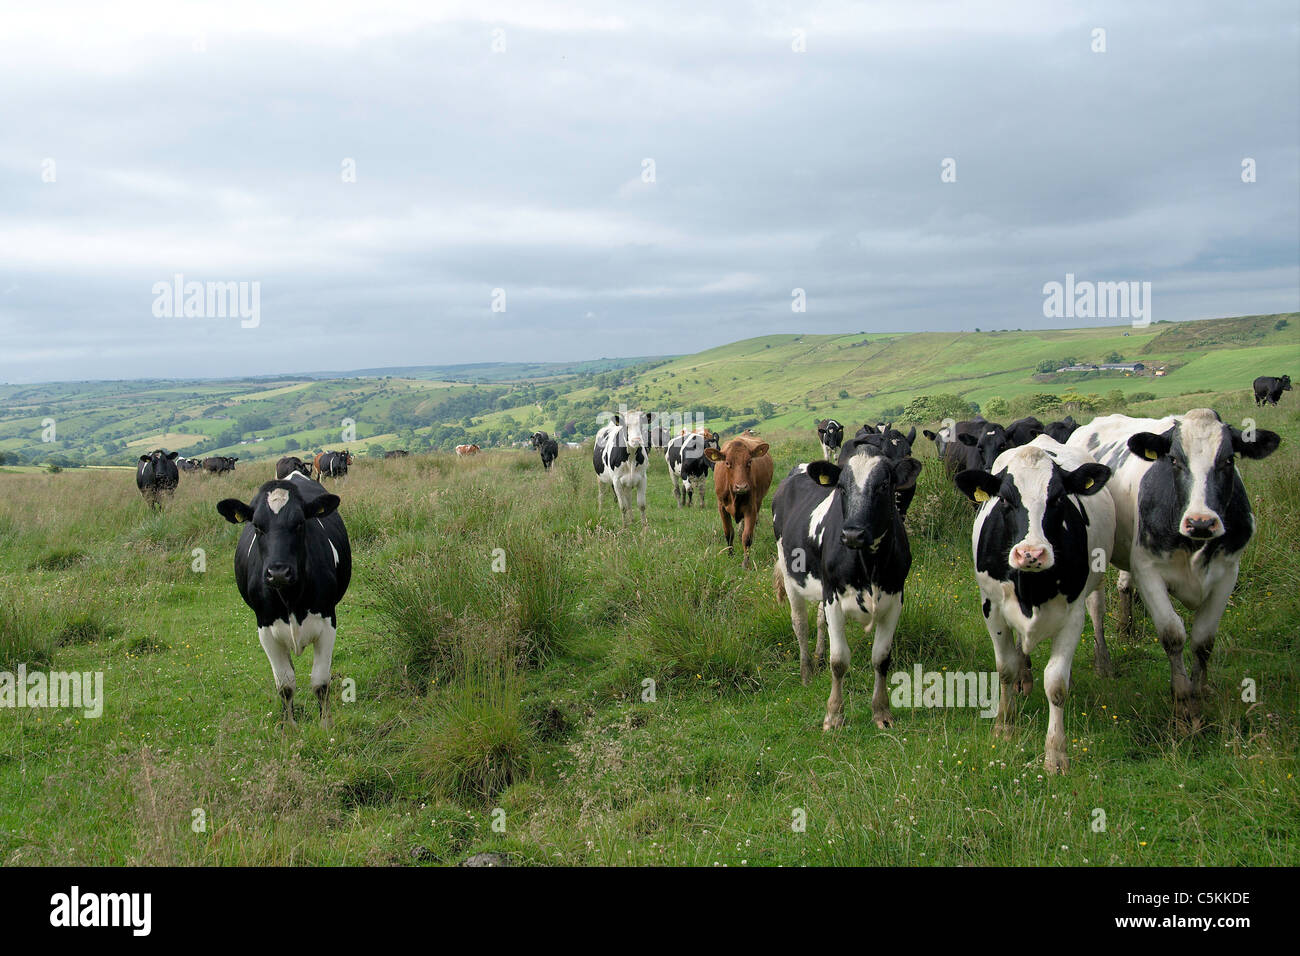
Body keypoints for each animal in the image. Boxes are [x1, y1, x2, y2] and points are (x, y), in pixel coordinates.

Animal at [217, 470, 351, 727]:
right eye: (257, 526)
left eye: (299, 523)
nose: (278, 572)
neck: (291, 600)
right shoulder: (265, 629)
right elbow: (285, 684)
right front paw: (289, 727)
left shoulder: (328, 621)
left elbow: (320, 681)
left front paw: (325, 726)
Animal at [705, 434, 774, 568]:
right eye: (727, 463)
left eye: (749, 462)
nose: (741, 487)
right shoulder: (721, 507)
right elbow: (728, 533)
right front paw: (730, 555)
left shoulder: (751, 508)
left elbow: (747, 537)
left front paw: (745, 563)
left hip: (758, 502)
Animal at [772, 444, 921, 729]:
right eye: (841, 487)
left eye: (883, 485)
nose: (853, 533)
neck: (868, 563)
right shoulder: (834, 597)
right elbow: (839, 660)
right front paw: (833, 715)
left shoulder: (896, 598)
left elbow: (881, 658)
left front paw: (881, 712)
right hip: (789, 572)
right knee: (800, 623)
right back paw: (807, 672)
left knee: (819, 621)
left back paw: (817, 657)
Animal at [954, 436, 1115, 773]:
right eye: (1004, 499)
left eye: (1058, 498)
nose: (1031, 553)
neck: (1032, 587)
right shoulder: (992, 607)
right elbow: (1005, 668)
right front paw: (1005, 724)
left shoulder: (1072, 617)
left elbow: (1056, 684)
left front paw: (1056, 753)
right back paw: (1023, 678)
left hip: (1097, 582)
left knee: (1097, 611)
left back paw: (1102, 663)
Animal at [1068, 409, 1280, 730]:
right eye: (1175, 461)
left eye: (1228, 460)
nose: (1201, 522)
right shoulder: (1148, 571)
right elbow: (1173, 634)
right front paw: (1184, 709)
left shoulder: (1228, 572)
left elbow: (1203, 640)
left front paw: (1201, 692)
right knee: (1096, 608)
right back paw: (1103, 662)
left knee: (1124, 586)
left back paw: (1126, 628)